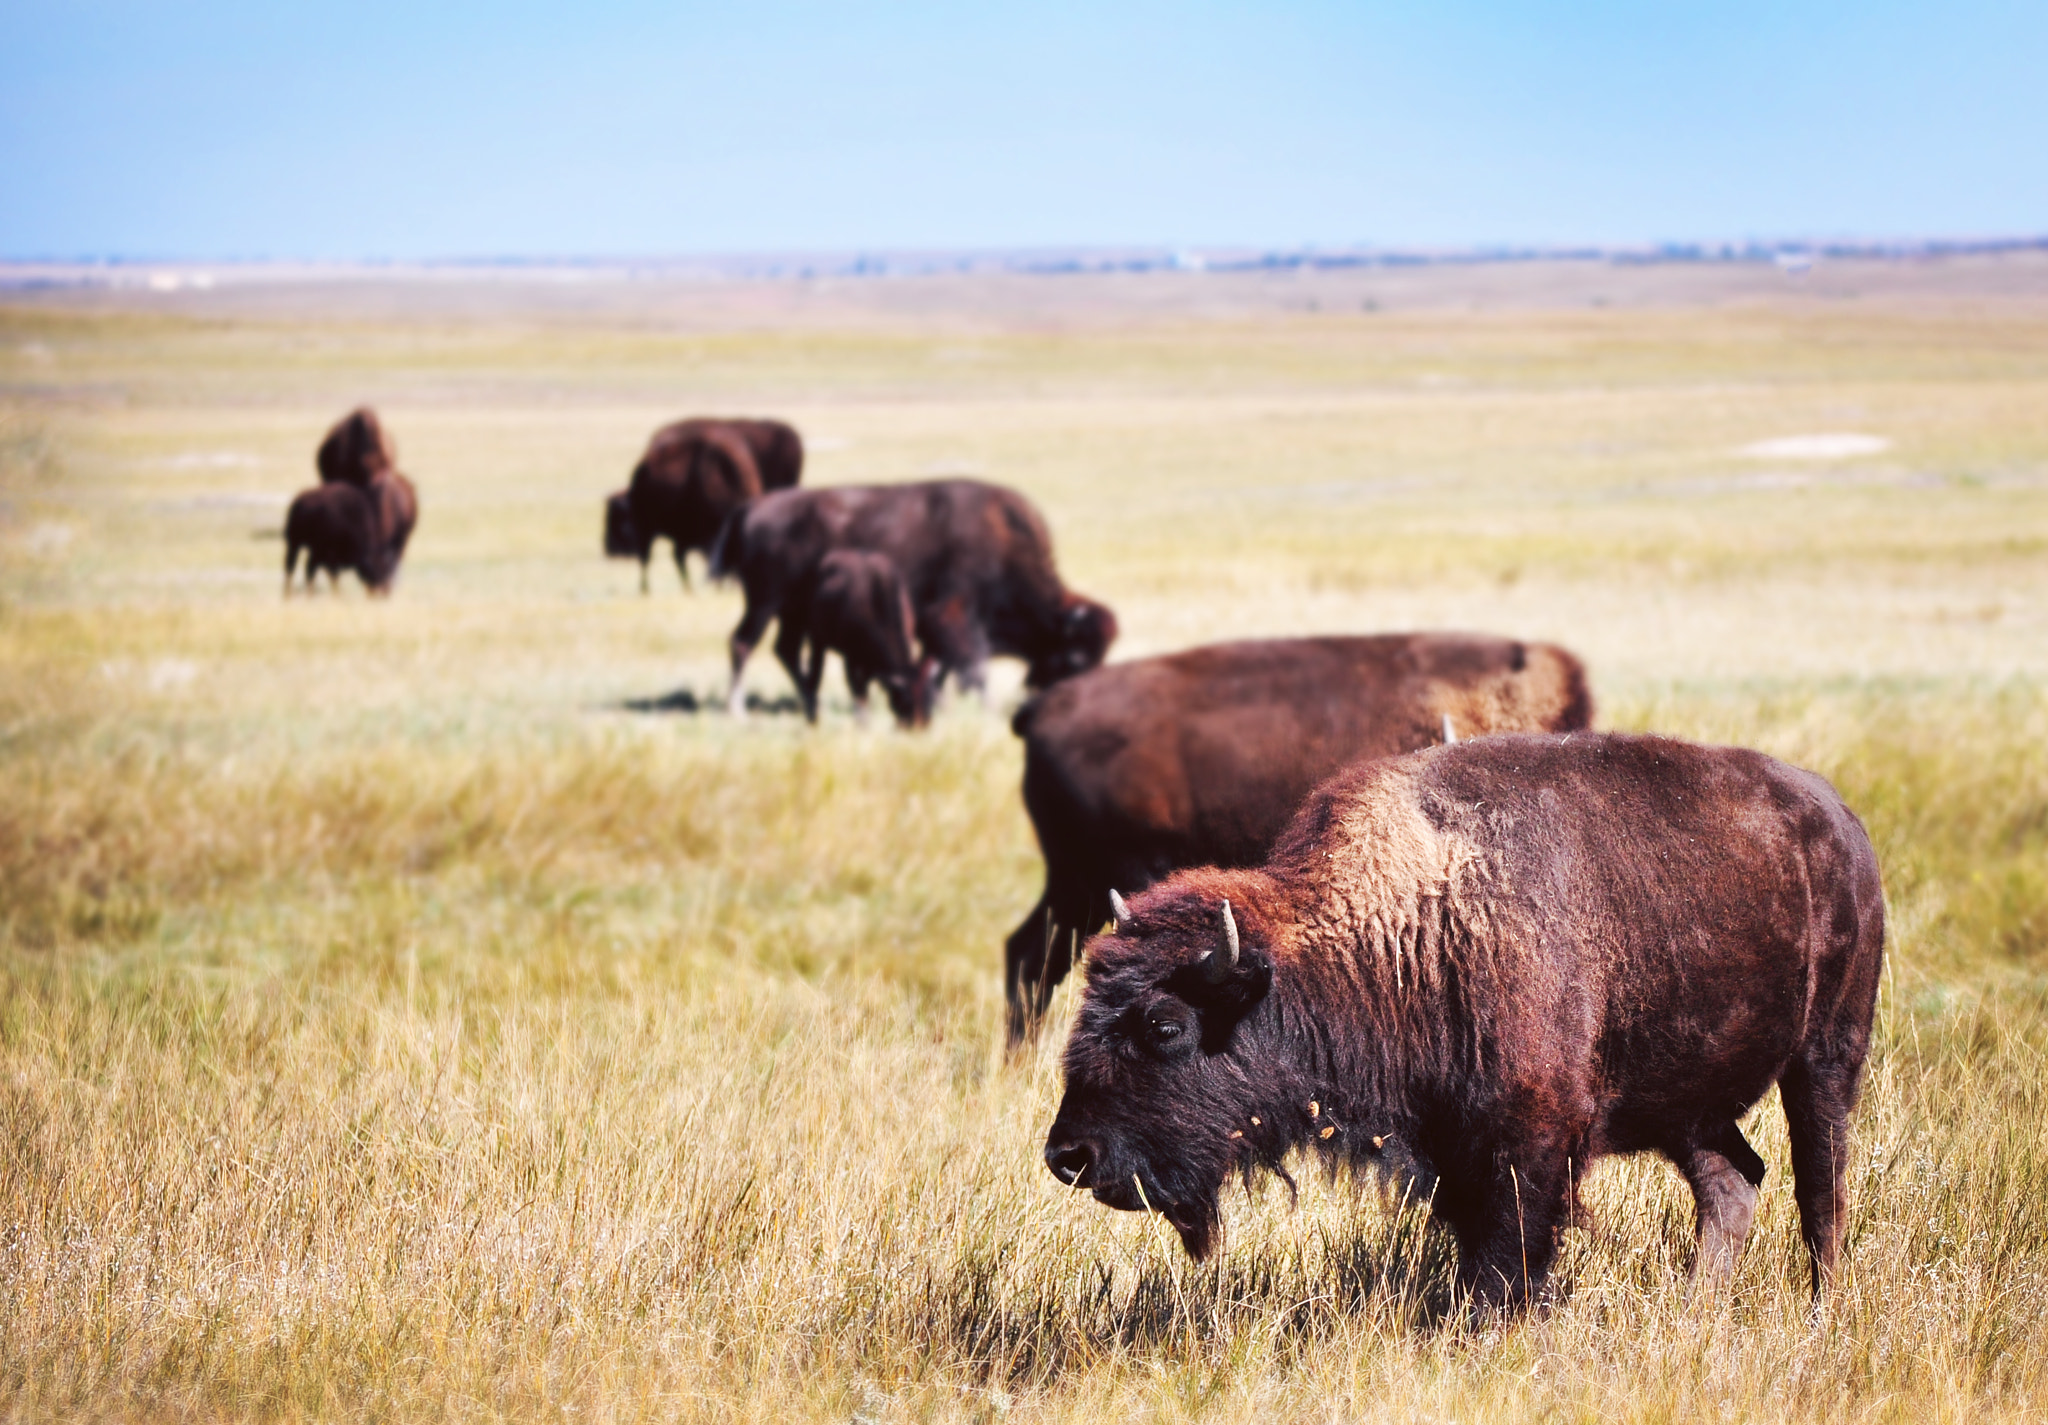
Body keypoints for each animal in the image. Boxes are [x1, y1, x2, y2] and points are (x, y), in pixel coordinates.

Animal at [606, 417, 803, 591]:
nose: (609, 550)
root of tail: (642, 469)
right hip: (648, 529)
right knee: (647, 557)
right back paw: (647, 590)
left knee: (669, 556)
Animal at [714, 479, 1116, 715]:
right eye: (1075, 658)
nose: (1077, 702)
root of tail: (752, 507)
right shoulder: (953, 616)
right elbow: (973, 668)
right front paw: (982, 710)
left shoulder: (934, 631)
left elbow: (940, 668)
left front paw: (937, 704)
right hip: (764, 602)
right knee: (742, 643)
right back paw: (737, 710)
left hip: (793, 613)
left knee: (784, 650)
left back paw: (810, 703)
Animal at [1043, 732, 1885, 1311]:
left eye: (1166, 1025)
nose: (1069, 1154)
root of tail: (1840, 820)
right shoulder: (1454, 1146)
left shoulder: (1531, 1142)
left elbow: (1506, 1261)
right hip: (1687, 1107)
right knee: (1732, 1181)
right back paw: (1694, 1309)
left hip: (1826, 1059)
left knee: (1821, 1192)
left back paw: (1820, 1311)